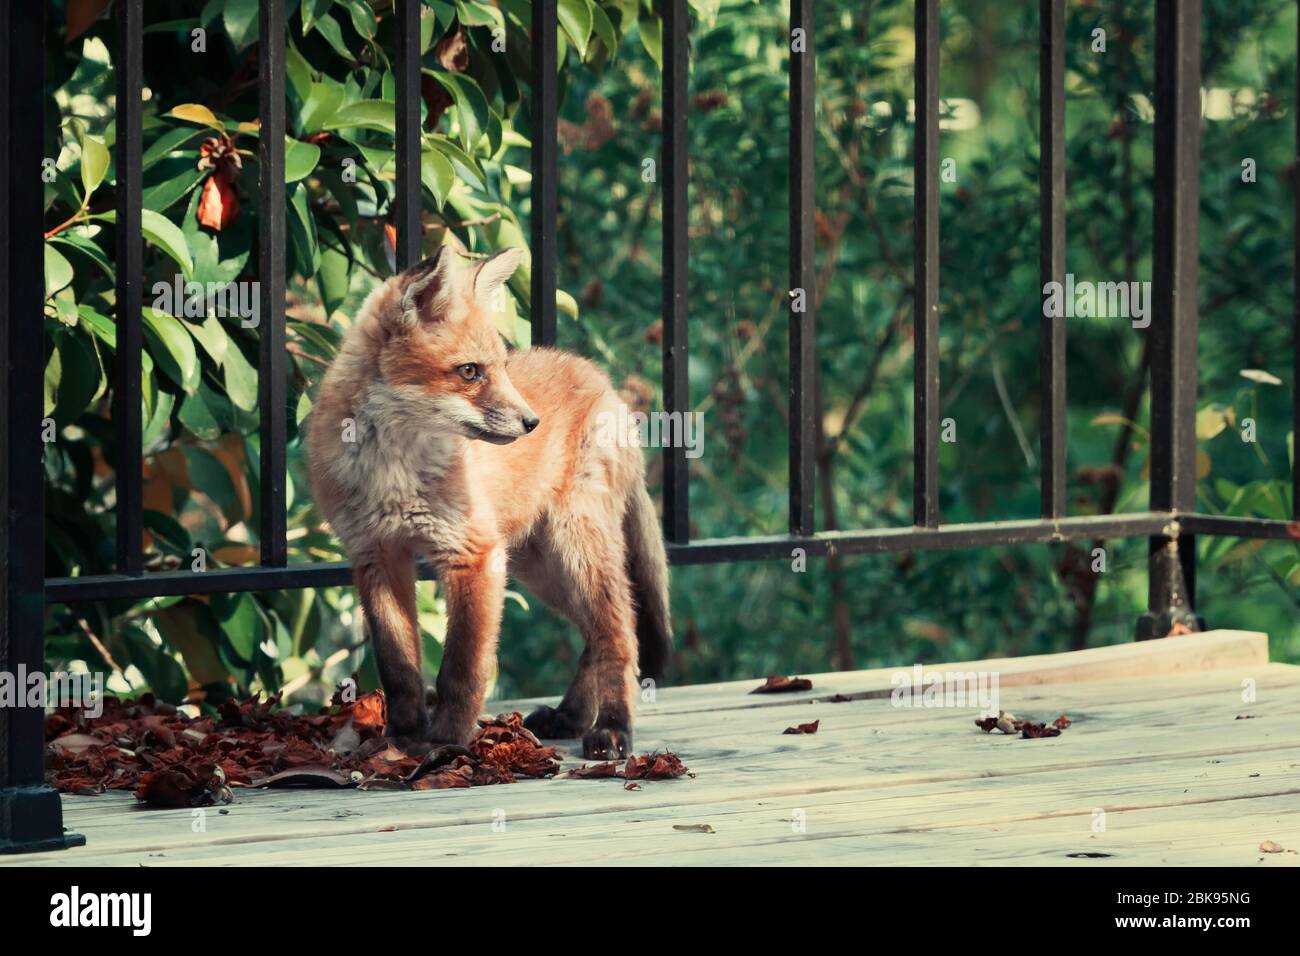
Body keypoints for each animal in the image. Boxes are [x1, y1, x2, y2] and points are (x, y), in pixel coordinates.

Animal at [307, 246, 672, 760]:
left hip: (573, 550)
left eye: (500, 366)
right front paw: (399, 740)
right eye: (469, 372)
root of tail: (602, 380)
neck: (394, 471)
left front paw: (446, 744)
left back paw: (613, 728)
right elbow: (399, 669)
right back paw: (572, 715)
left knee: (620, 633)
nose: (532, 422)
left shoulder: (474, 554)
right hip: (540, 568)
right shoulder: (376, 554)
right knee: (599, 634)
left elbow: (462, 668)